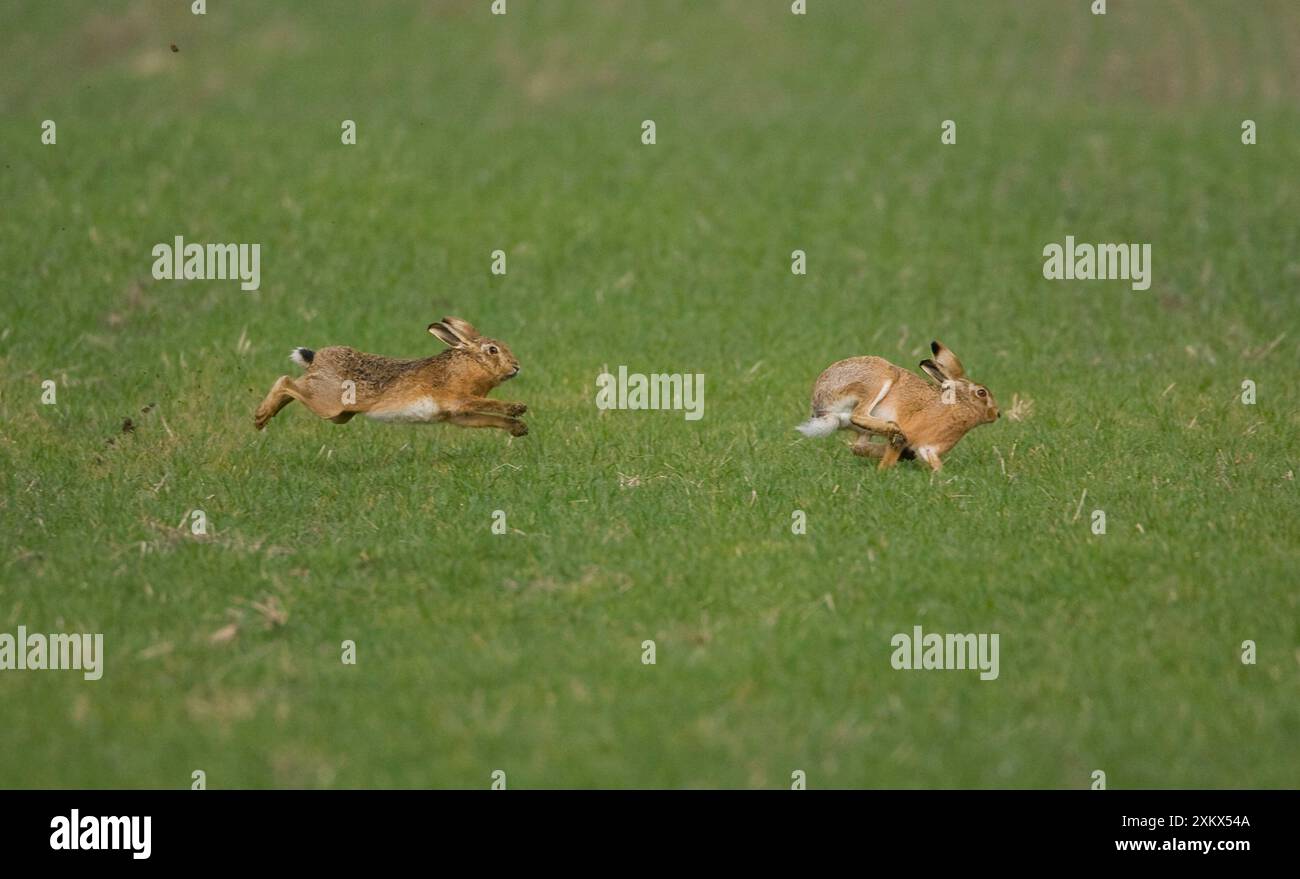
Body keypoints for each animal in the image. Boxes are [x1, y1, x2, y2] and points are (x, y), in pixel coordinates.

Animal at [253, 316, 528, 436]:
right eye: (492, 350)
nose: (516, 367)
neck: (468, 366)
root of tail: (316, 359)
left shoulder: (459, 415)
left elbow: (487, 418)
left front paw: (518, 428)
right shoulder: (458, 399)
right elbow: (489, 404)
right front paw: (518, 408)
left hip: (339, 414)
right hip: (328, 404)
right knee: (285, 382)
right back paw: (260, 417)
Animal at [796, 340, 999, 471]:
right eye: (982, 393)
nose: (997, 413)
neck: (959, 404)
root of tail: (822, 407)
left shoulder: (929, 448)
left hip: (863, 428)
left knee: (859, 445)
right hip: (880, 378)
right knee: (859, 415)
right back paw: (895, 430)